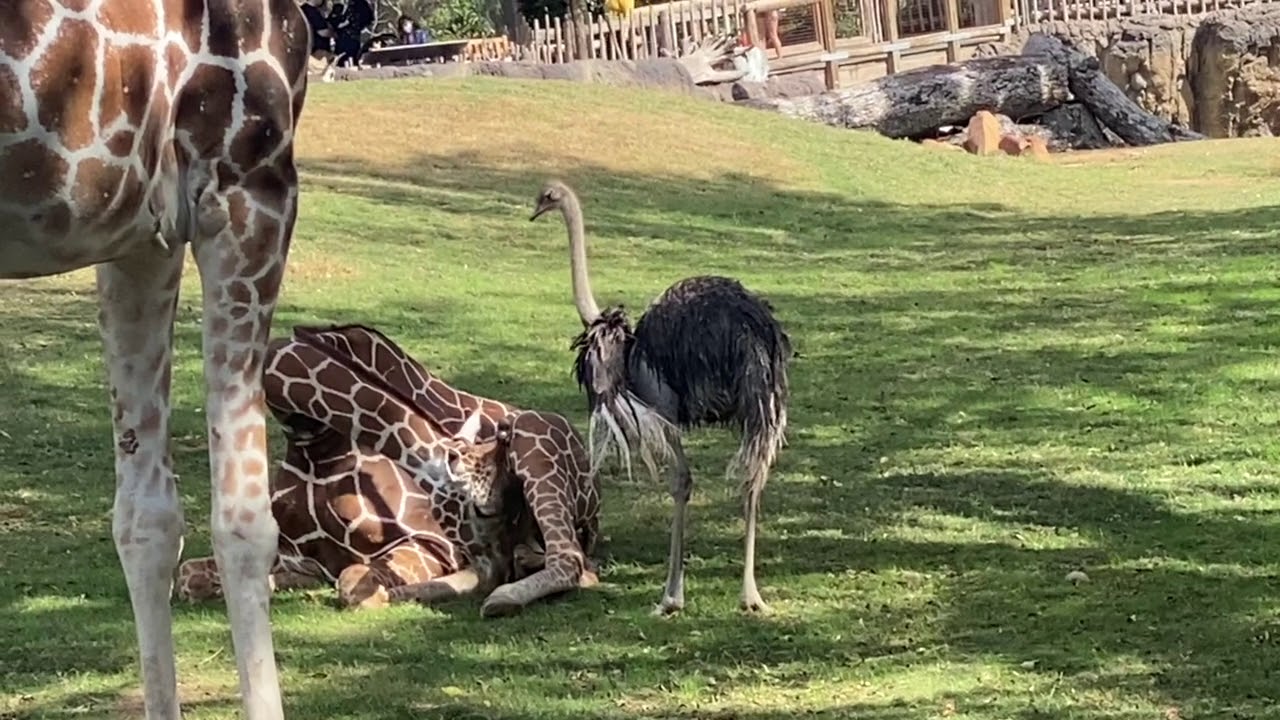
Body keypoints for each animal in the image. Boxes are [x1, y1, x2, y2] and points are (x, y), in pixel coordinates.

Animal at [174, 323, 603, 617]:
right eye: (484, 510)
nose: (501, 566)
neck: (310, 437)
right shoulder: (292, 549)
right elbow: (187, 576)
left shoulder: (429, 543)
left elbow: (352, 583)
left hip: (533, 442)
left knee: (575, 564)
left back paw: (499, 595)